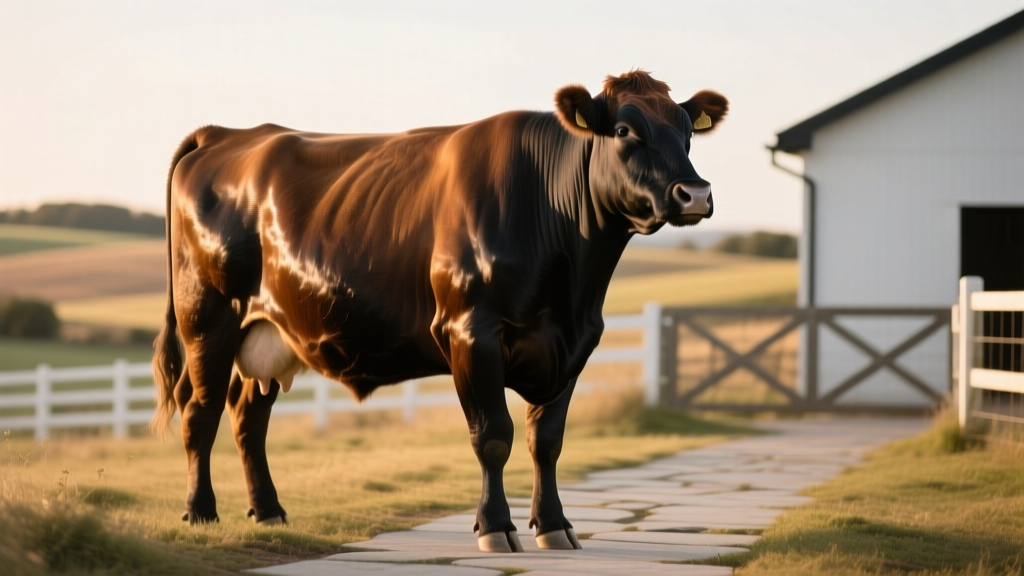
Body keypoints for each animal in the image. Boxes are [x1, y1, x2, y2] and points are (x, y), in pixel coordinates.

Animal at [151, 70, 727, 553]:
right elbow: (493, 436)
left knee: (248, 416)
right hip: (207, 319)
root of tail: (227, 134)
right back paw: (200, 513)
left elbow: (546, 441)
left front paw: (555, 526)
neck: (572, 284)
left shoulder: (573, 345)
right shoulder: (471, 330)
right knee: (201, 413)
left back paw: (269, 511)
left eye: (687, 131)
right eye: (626, 130)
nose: (695, 193)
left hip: (270, 335)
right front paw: (496, 528)